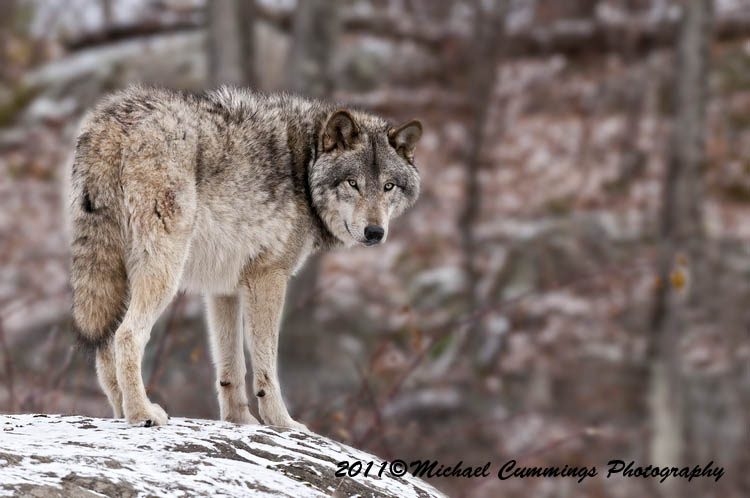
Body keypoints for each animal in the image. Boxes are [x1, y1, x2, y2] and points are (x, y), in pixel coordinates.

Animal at [68, 85, 422, 429]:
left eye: (389, 186)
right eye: (352, 183)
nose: (375, 232)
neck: (305, 167)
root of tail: (114, 120)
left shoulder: (223, 288)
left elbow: (230, 365)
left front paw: (240, 421)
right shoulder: (268, 277)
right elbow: (266, 362)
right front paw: (283, 422)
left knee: (106, 344)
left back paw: (122, 412)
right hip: (165, 272)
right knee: (127, 336)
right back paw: (143, 413)